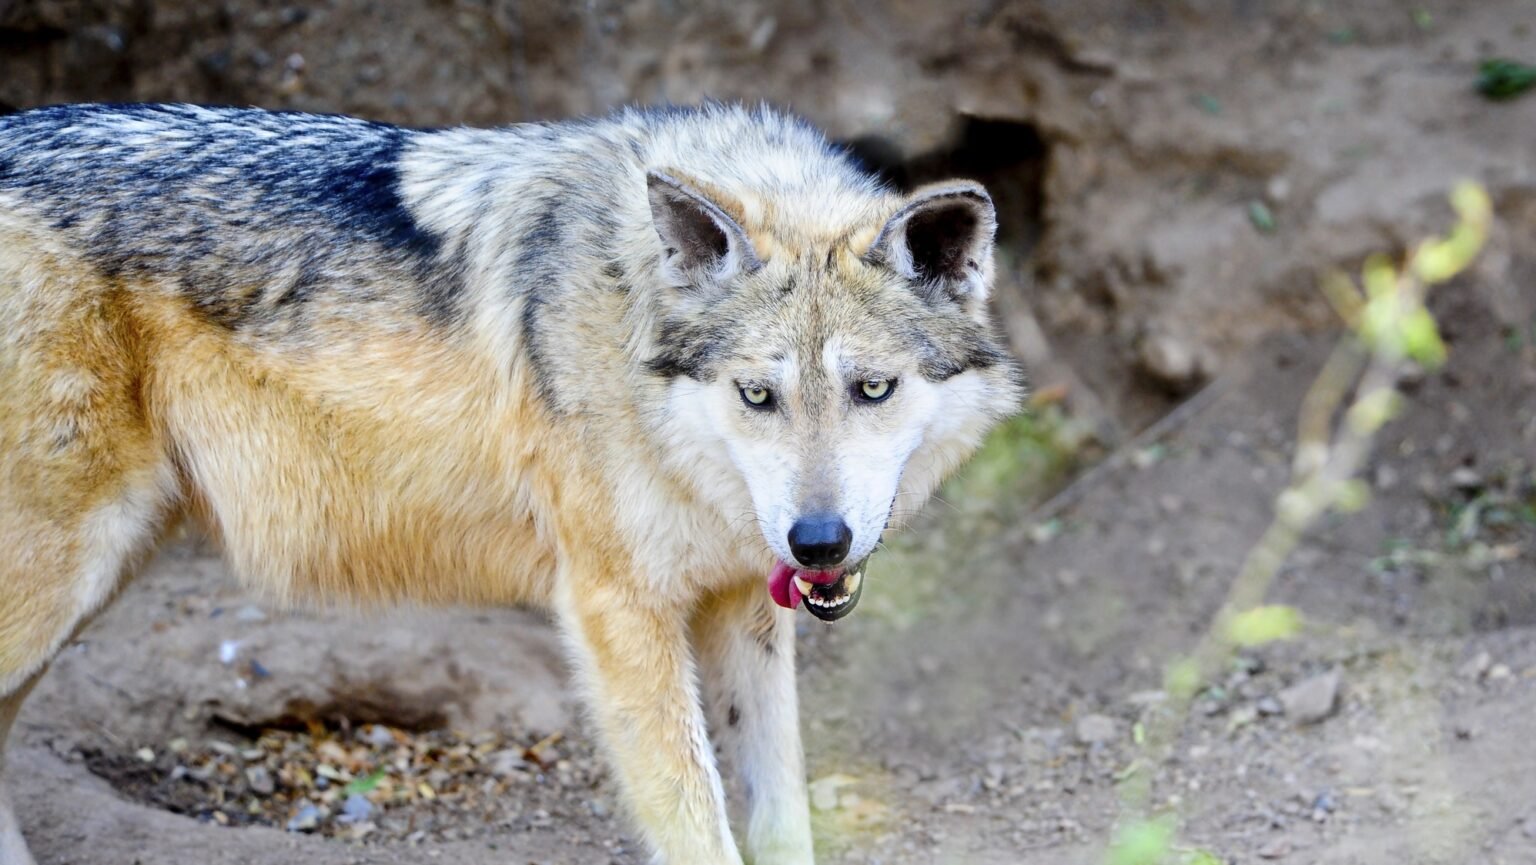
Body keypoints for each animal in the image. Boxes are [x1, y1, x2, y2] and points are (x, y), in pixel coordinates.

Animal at [0, 101, 1023, 864]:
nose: (818, 541)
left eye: (873, 388)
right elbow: (696, 824)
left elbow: (782, 817)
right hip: (65, 578)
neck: (624, 310)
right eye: (756, 394)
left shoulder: (743, 602)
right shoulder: (619, 610)